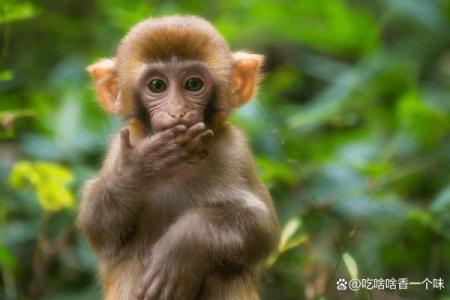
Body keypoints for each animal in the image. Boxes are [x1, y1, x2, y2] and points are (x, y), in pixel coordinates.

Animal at [79, 15, 280, 300]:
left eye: (193, 84)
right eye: (157, 86)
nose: (177, 111)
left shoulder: (235, 151)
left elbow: (262, 226)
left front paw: (182, 248)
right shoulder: (119, 149)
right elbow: (98, 226)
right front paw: (141, 167)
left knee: (226, 272)